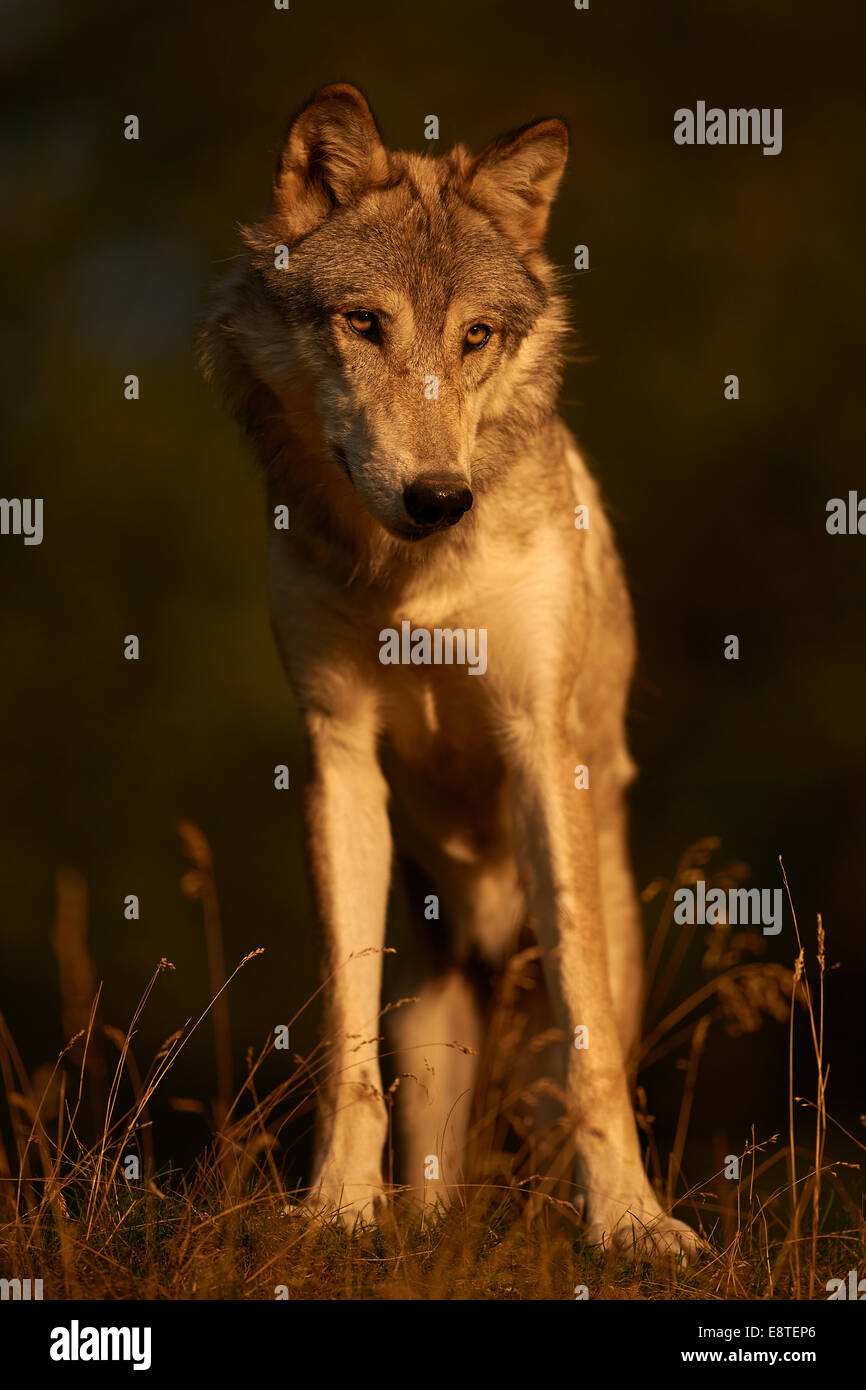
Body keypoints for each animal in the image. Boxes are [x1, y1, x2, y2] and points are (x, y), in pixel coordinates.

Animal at [200, 83, 701, 1259]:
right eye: (364, 323)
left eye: (474, 336)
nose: (439, 497)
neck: (415, 579)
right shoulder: (337, 758)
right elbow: (344, 1046)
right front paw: (337, 1210)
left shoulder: (541, 750)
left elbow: (592, 1057)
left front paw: (632, 1225)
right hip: (434, 1004)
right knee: (437, 1147)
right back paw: (423, 1227)